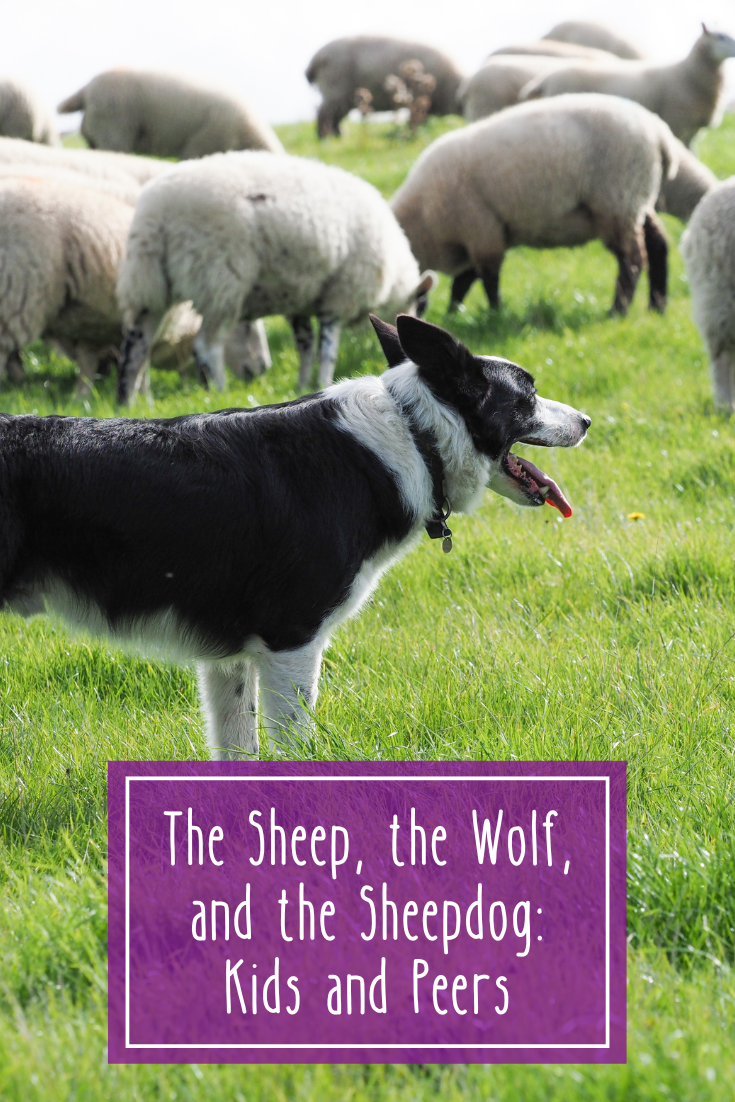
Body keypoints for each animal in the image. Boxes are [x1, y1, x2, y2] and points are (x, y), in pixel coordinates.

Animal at [116, 151, 435, 402]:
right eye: (421, 307)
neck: (394, 279)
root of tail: (154, 216)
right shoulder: (338, 297)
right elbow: (327, 350)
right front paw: (325, 381)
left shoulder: (301, 302)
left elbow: (306, 346)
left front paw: (303, 384)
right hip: (220, 280)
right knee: (206, 346)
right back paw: (217, 392)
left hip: (150, 285)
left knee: (135, 348)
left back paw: (128, 403)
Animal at [305, 36, 464, 138]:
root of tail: (315, 59)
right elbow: (417, 120)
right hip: (335, 90)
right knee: (324, 114)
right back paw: (325, 138)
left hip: (342, 97)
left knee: (334, 117)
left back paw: (338, 136)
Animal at [390, 94, 678, 317]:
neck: (423, 221)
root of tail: (660, 135)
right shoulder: (478, 235)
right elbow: (465, 281)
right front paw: (454, 313)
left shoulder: (481, 230)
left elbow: (486, 279)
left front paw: (494, 314)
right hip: (635, 202)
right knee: (658, 244)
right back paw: (657, 306)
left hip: (617, 201)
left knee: (633, 260)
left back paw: (618, 310)